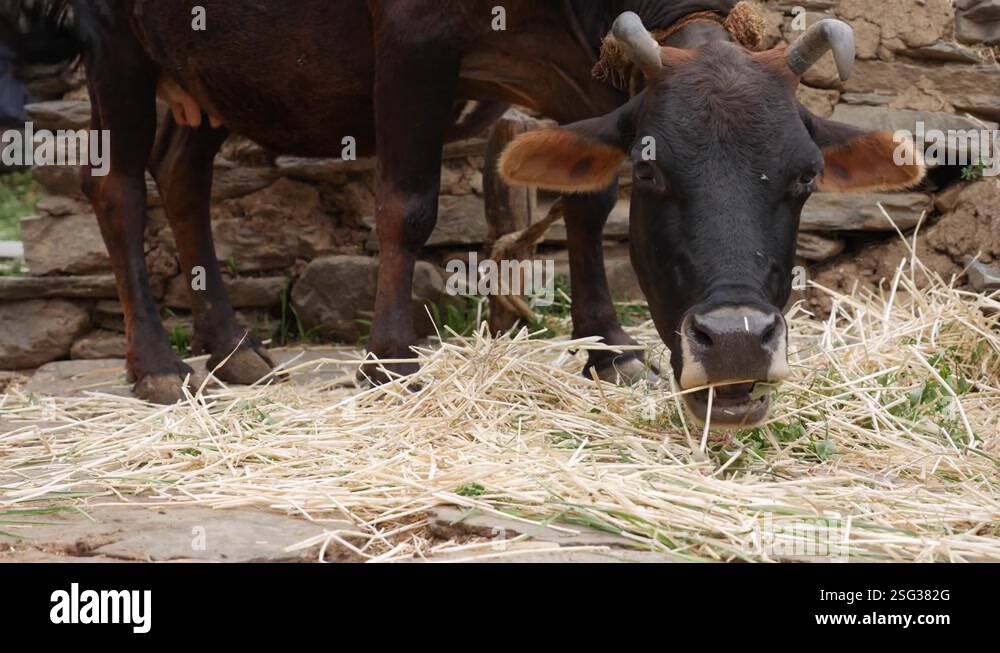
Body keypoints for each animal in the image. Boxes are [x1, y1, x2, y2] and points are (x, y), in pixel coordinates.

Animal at [0, 1, 922, 427]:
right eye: (656, 175)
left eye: (804, 178)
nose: (735, 342)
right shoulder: (415, 43)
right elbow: (406, 204)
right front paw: (390, 357)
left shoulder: (585, 73)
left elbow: (585, 202)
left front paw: (607, 344)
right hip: (117, 46)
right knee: (117, 189)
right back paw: (158, 363)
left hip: (216, 73)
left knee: (182, 178)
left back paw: (235, 347)